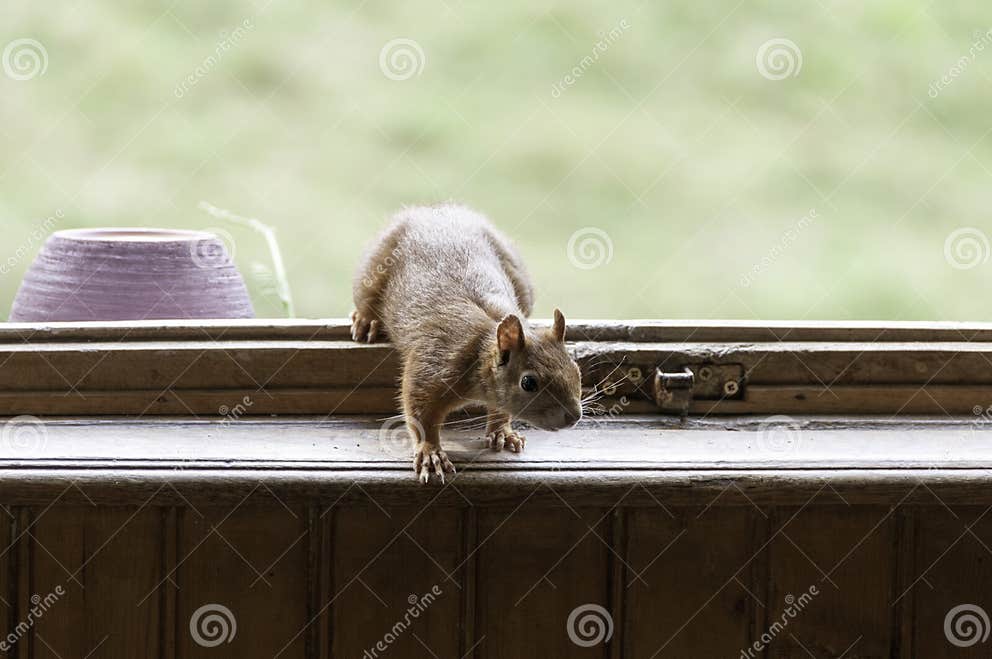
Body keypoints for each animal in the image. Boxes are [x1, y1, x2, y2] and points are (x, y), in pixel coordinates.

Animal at [351, 204, 583, 484]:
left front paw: (502, 432)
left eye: (576, 370)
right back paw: (367, 321)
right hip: (372, 269)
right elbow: (419, 412)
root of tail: (433, 211)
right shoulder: (435, 362)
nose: (574, 417)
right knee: (367, 299)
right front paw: (430, 452)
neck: (480, 346)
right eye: (528, 383)